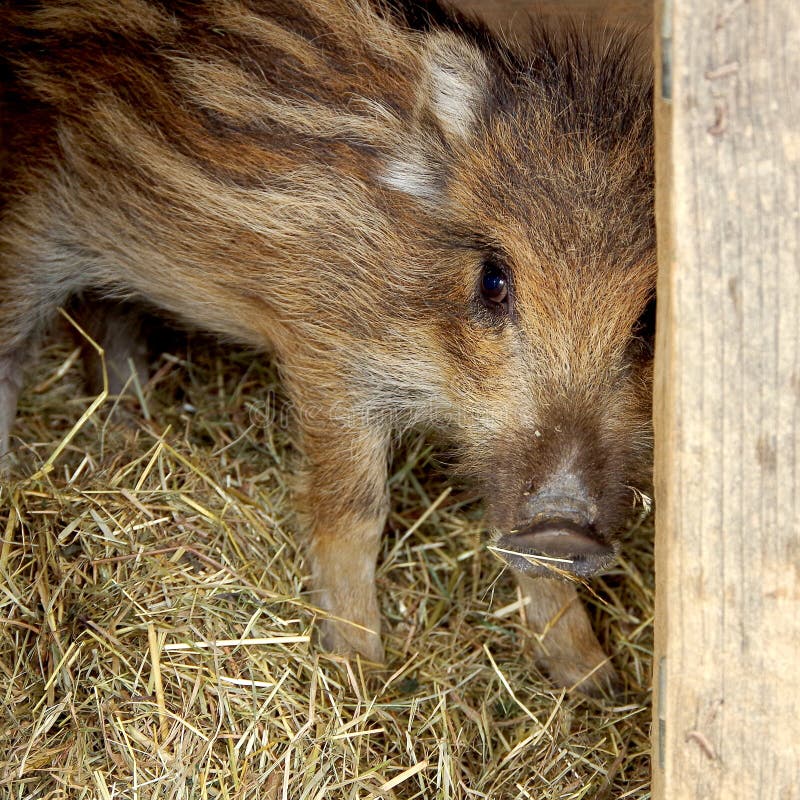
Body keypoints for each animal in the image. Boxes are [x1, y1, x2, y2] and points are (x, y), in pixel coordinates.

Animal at [0, 0, 655, 694]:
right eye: (494, 280)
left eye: (650, 318)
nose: (564, 529)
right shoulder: (326, 357)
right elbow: (355, 511)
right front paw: (360, 669)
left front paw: (595, 683)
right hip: (31, 231)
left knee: (110, 318)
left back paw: (132, 422)